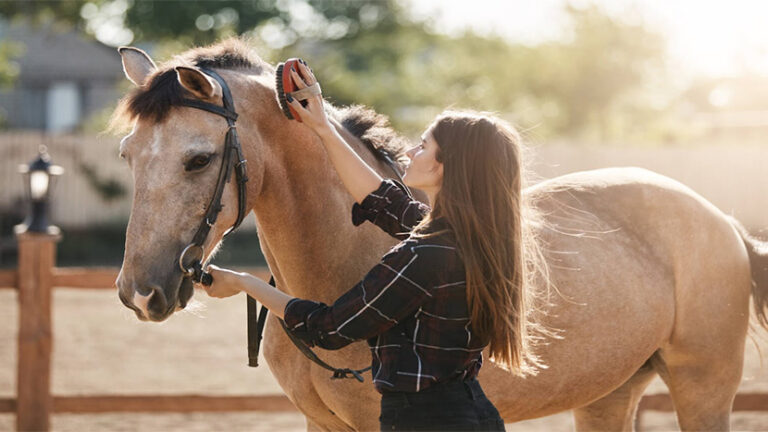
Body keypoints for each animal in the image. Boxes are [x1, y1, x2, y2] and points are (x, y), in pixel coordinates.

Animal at [113, 39, 768, 431]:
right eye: (127, 153)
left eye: (198, 159)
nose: (139, 293)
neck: (343, 259)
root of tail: (723, 223)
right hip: (610, 393)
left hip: (704, 390)